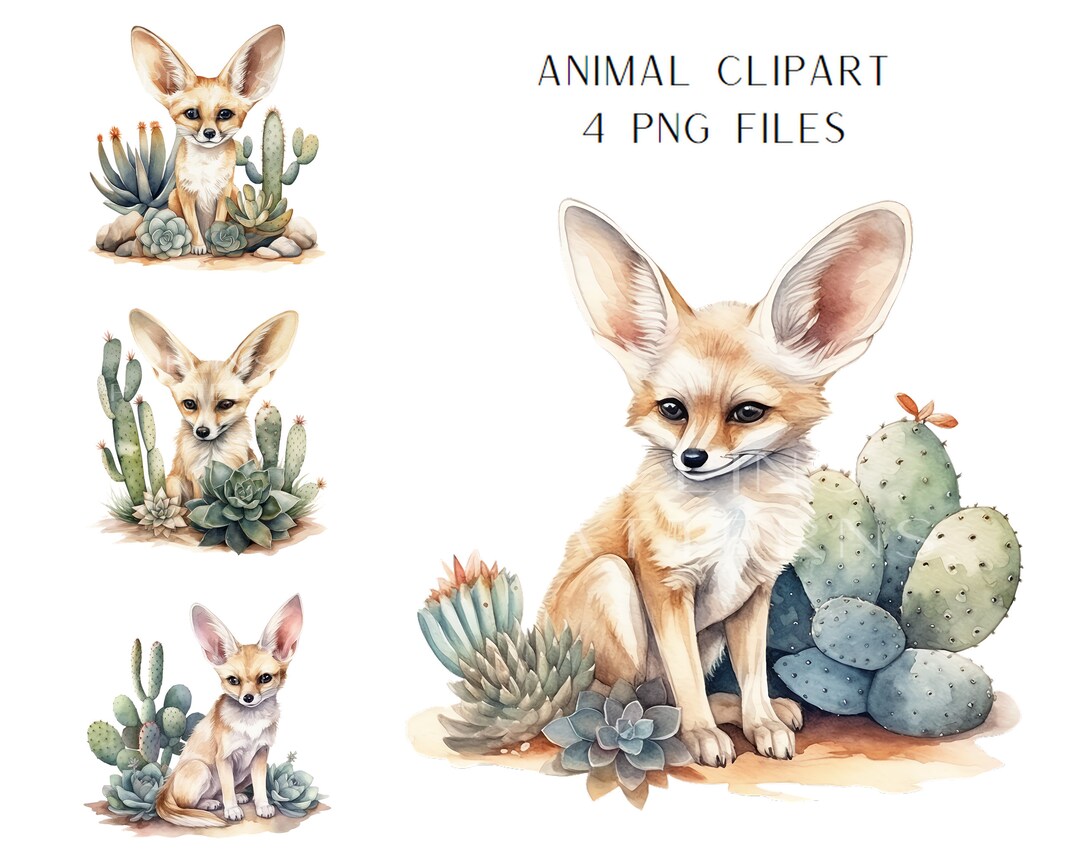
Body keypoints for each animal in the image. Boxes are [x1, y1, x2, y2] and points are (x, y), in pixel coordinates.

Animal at [128, 309, 299, 501]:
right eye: (190, 404)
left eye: (225, 404)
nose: (202, 431)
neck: (212, 457)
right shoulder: (195, 479)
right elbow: (196, 504)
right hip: (173, 483)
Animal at [130, 25, 285, 254]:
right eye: (192, 113)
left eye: (224, 114)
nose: (210, 133)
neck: (206, 169)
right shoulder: (186, 195)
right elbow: (193, 225)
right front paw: (198, 246)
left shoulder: (224, 194)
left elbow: (218, 222)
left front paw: (216, 246)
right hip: (173, 197)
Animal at [156, 595, 303, 827]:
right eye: (233, 680)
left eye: (265, 678)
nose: (248, 698)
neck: (251, 723)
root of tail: (165, 790)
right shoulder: (223, 758)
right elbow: (227, 790)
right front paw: (232, 809)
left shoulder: (260, 755)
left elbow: (259, 787)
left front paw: (262, 806)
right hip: (202, 770)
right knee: (189, 803)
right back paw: (210, 803)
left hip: (243, 774)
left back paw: (237, 796)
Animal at [540, 200, 911, 767]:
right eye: (673, 409)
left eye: (747, 412)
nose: (692, 458)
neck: (733, 519)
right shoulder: (666, 586)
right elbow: (689, 678)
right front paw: (701, 736)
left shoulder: (755, 592)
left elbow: (753, 676)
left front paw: (761, 725)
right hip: (613, 582)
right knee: (617, 700)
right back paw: (653, 731)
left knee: (666, 694)